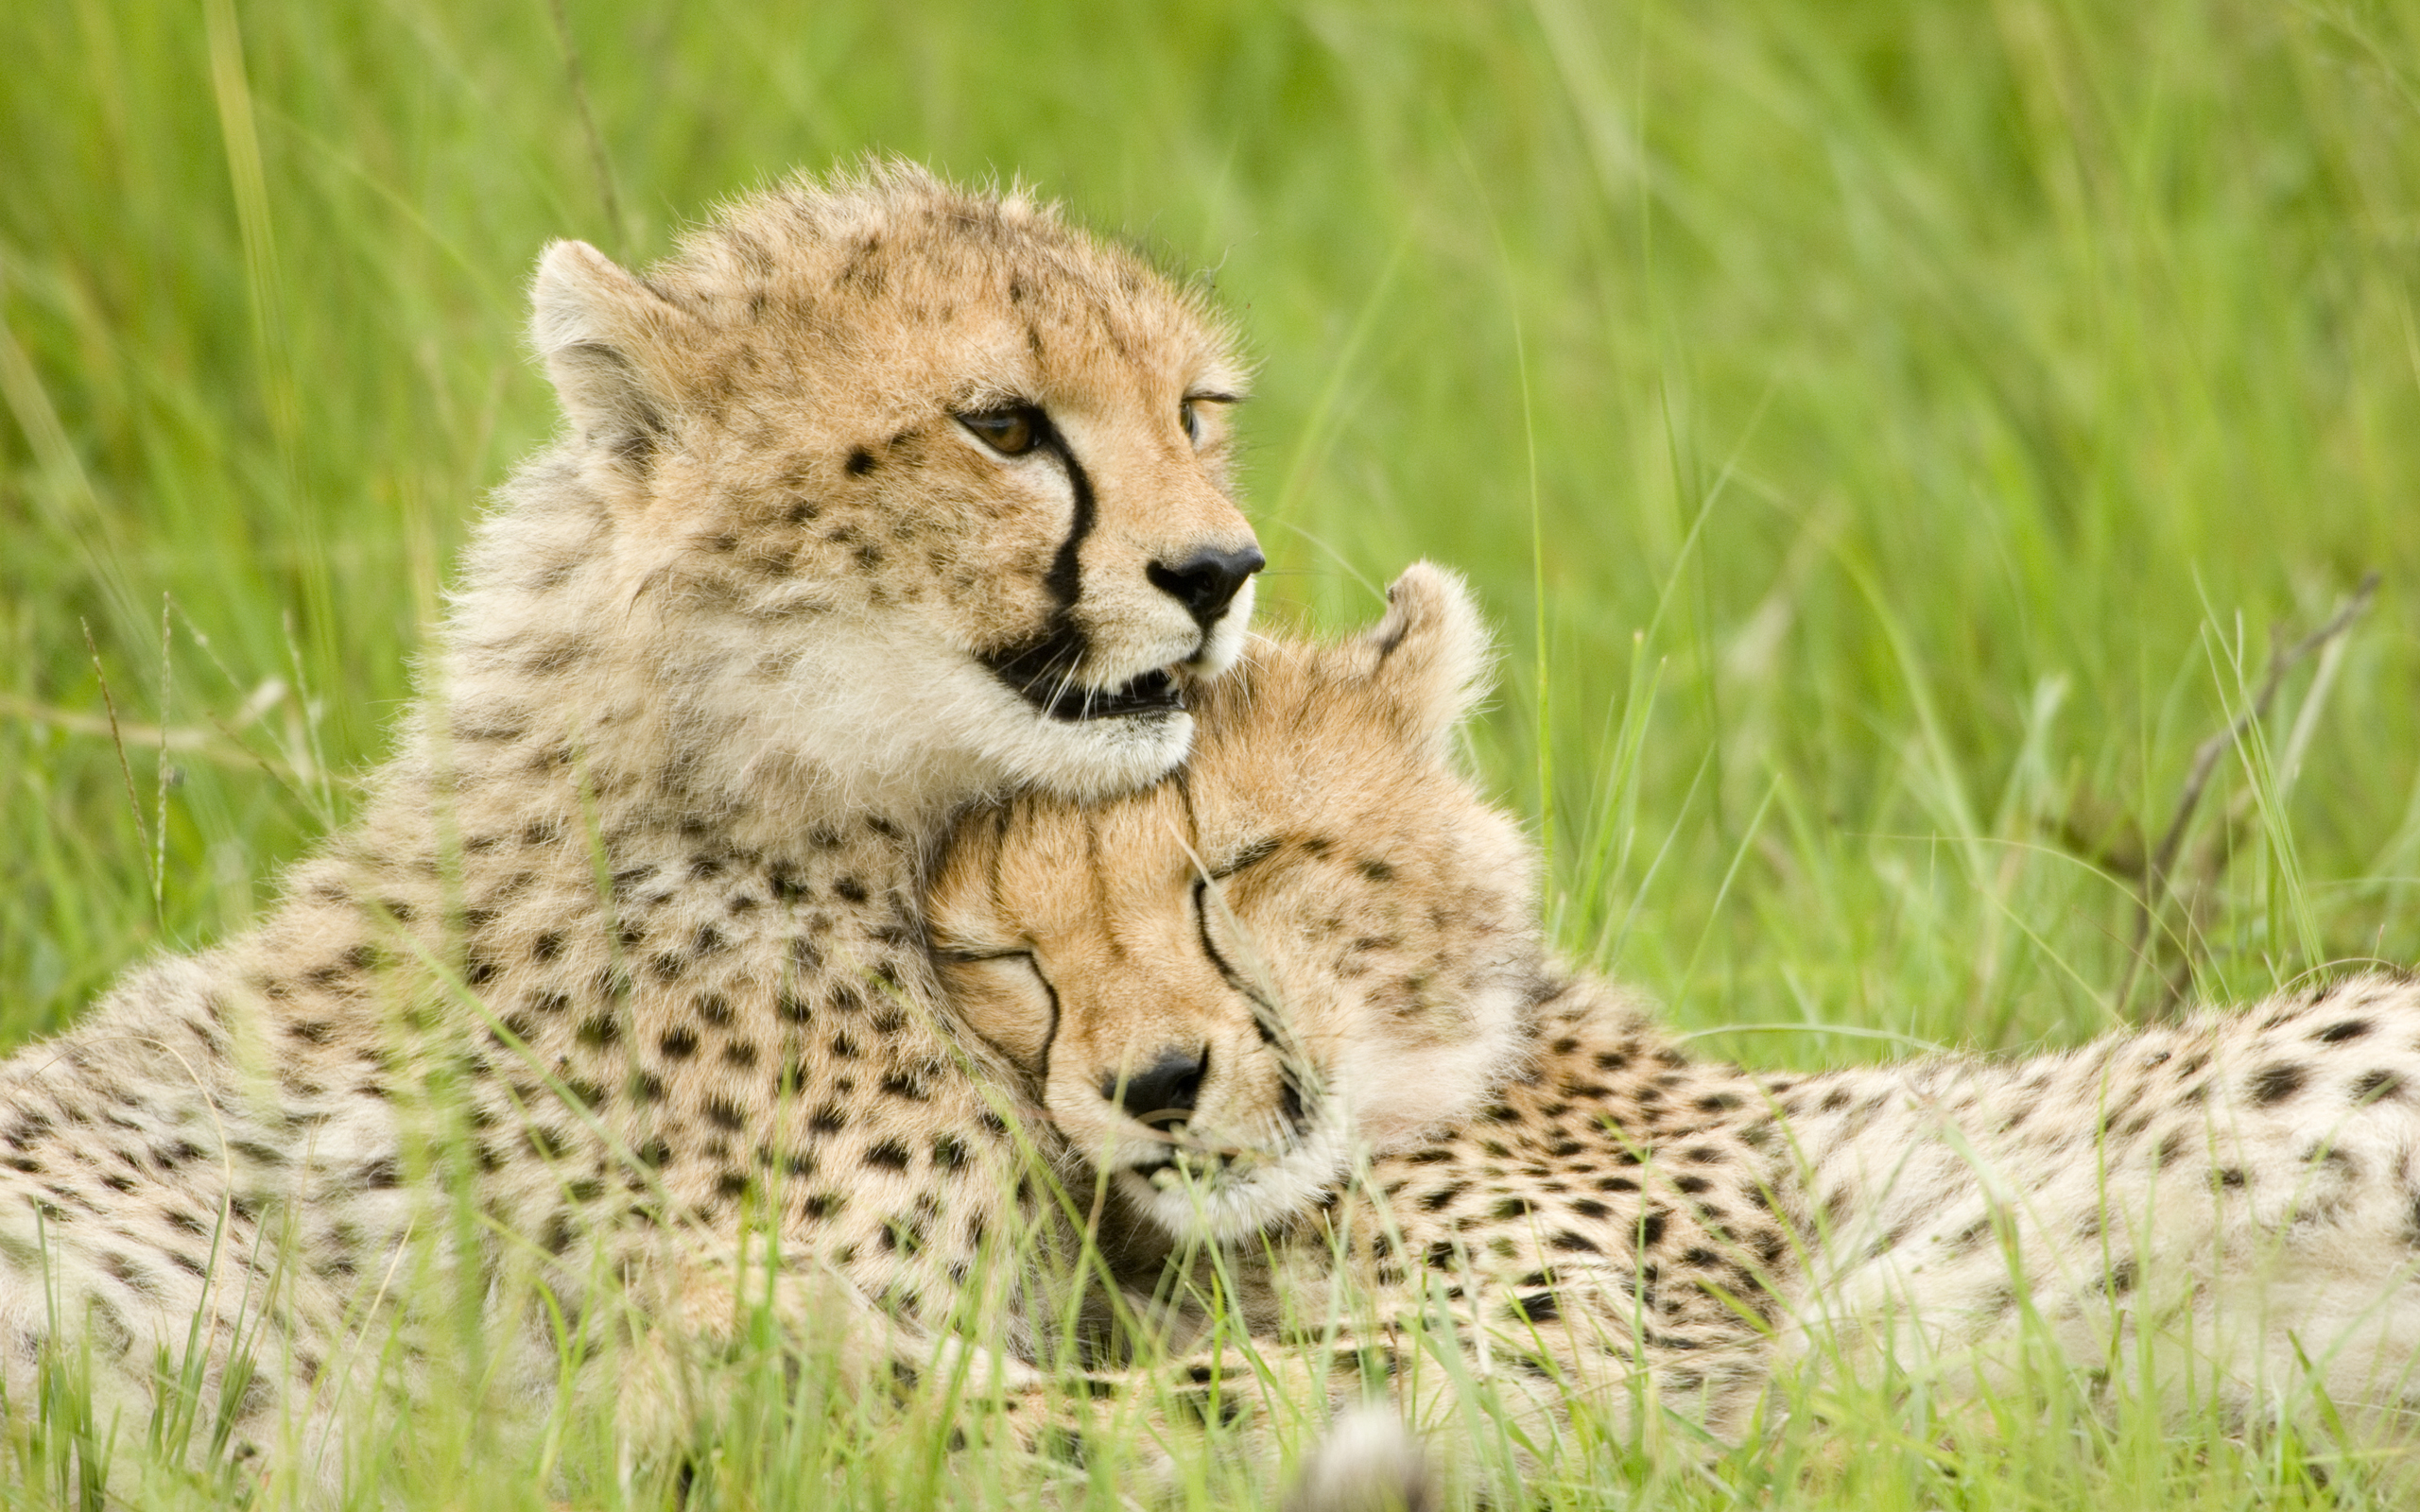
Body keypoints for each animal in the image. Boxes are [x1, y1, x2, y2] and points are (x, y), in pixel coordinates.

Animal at [927, 562, 2420, 1490]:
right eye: (1010, 956)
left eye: (1233, 867)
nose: (1156, 1084)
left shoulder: (1586, 1364)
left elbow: (1135, 1406)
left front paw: (867, 1366)